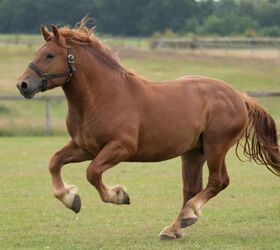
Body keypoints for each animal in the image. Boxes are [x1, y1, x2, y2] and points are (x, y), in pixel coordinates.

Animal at [17, 20, 280, 240]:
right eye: (38, 53)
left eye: (50, 55)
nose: (23, 85)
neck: (103, 96)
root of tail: (239, 96)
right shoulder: (84, 147)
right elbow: (55, 162)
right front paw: (70, 199)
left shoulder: (120, 148)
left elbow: (92, 173)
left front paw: (119, 195)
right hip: (194, 152)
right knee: (191, 188)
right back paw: (174, 228)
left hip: (215, 147)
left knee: (218, 181)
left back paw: (188, 215)